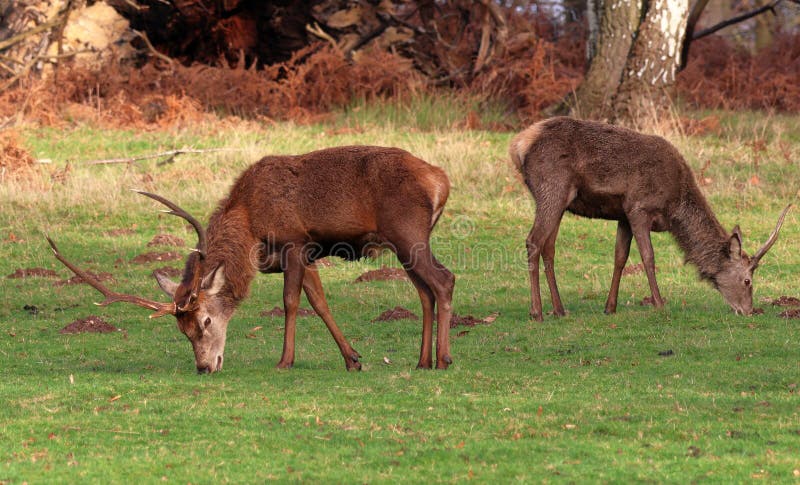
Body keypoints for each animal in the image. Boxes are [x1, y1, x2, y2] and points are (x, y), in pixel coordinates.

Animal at [48, 145, 455, 373]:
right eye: (182, 330)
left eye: (206, 320)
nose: (204, 367)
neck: (250, 226)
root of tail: (441, 180)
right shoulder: (306, 254)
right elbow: (319, 301)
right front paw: (352, 358)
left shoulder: (294, 241)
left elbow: (291, 301)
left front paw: (285, 361)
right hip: (404, 245)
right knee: (425, 292)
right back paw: (422, 360)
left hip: (408, 234)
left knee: (444, 280)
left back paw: (444, 360)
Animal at [509, 116, 790, 321]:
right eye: (747, 280)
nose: (749, 311)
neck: (675, 206)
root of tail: (518, 144)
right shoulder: (639, 208)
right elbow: (648, 257)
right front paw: (659, 303)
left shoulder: (623, 215)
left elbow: (620, 258)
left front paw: (610, 307)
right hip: (552, 188)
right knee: (534, 241)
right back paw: (537, 312)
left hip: (561, 201)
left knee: (549, 247)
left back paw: (559, 309)